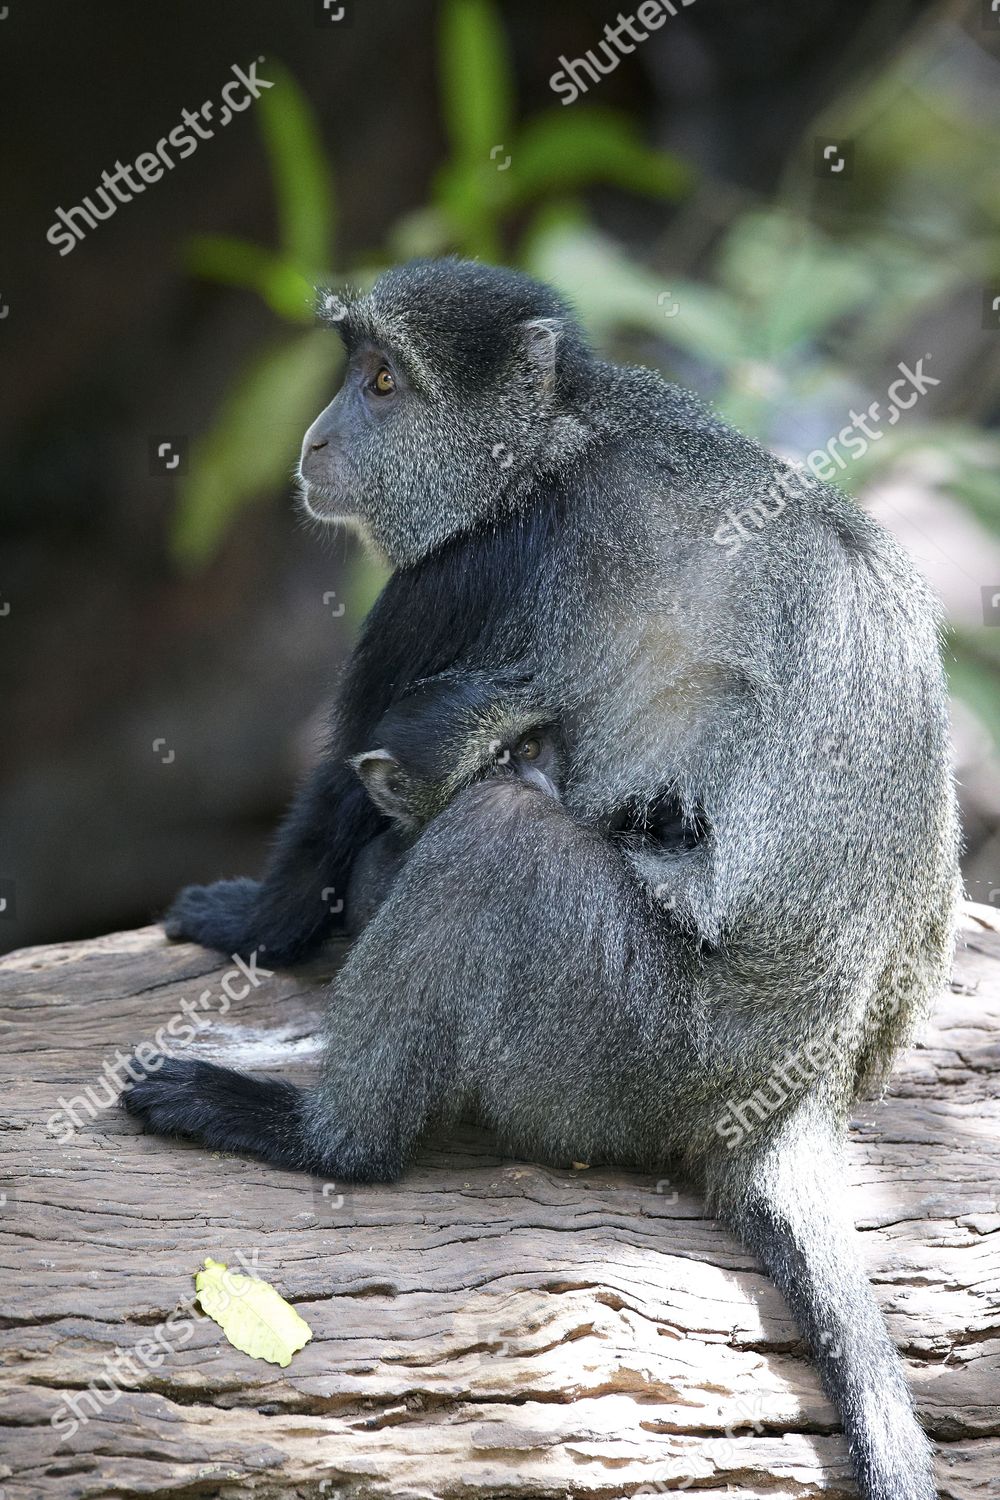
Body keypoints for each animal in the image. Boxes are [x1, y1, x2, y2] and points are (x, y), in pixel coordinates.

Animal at [125, 257, 959, 1500]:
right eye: (351, 371)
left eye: (383, 381)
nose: (318, 435)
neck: (562, 430)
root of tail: (799, 1095)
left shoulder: (471, 566)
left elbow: (345, 788)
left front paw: (244, 921)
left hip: (635, 1044)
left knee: (495, 841)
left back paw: (323, 1137)